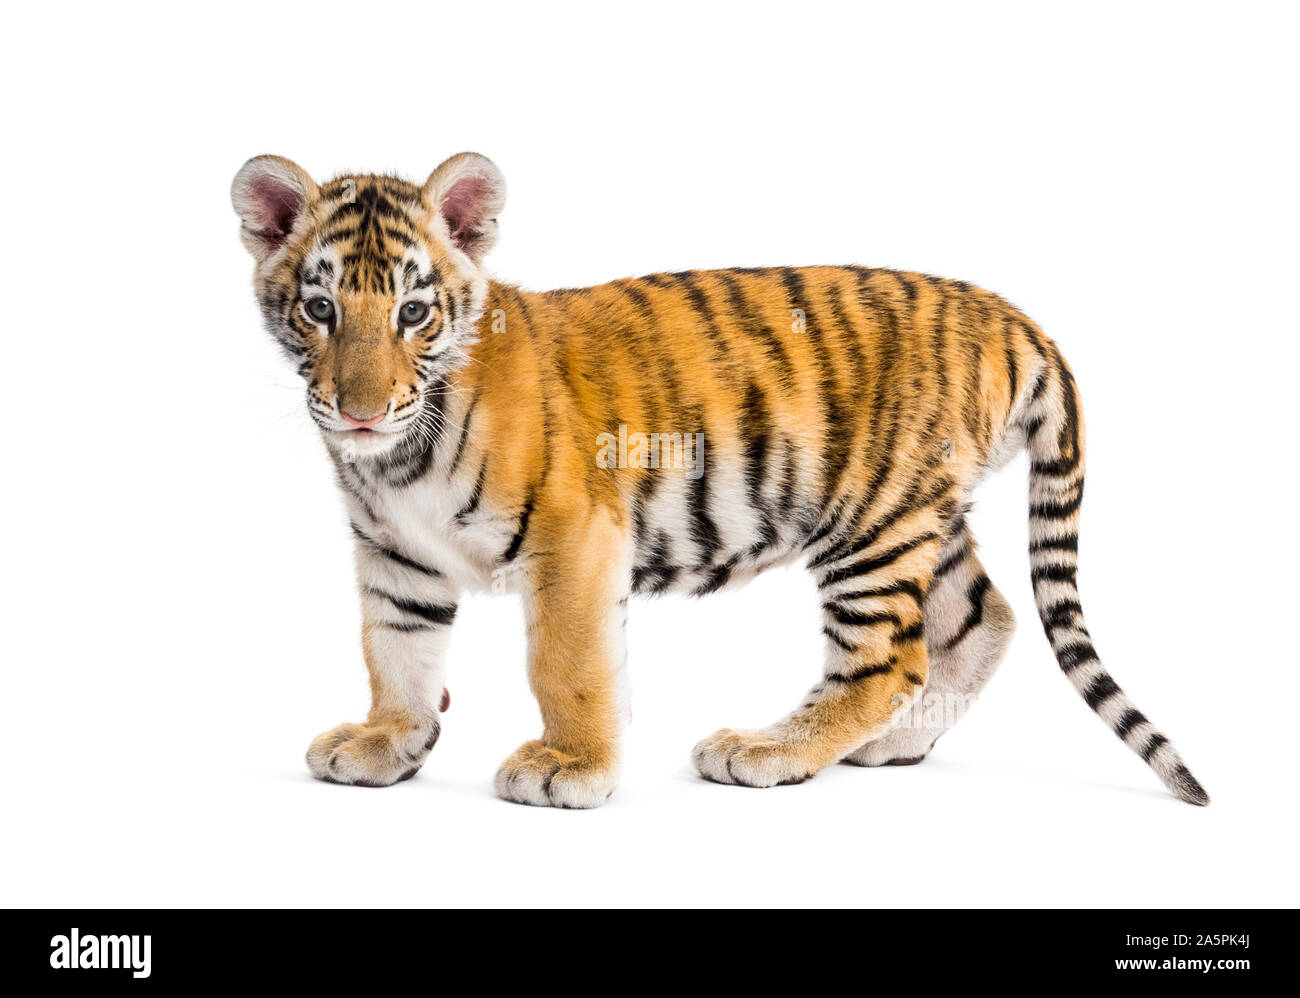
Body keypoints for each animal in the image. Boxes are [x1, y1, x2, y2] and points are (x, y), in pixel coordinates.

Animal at [231, 151, 1209, 809]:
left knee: (888, 660)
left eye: (413, 311)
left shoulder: (574, 537)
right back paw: (889, 747)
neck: (394, 457)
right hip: (925, 513)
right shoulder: (396, 555)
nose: (359, 411)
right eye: (319, 309)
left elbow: (566, 662)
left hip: (871, 521)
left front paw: (570, 767)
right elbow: (394, 653)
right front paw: (386, 745)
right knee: (984, 620)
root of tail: (1010, 315)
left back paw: (772, 751)